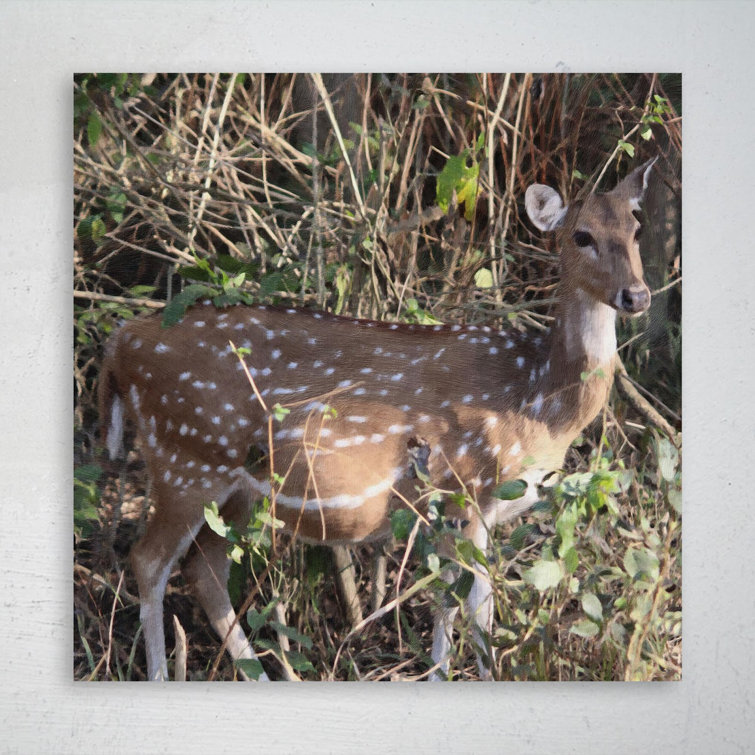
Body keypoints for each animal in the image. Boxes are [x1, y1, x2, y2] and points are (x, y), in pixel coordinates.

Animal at [99, 158, 655, 681]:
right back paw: (161, 673)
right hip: (187, 457)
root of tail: (121, 343)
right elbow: (477, 608)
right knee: (149, 562)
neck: (537, 403)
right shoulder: (467, 486)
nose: (637, 295)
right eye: (581, 235)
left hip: (234, 487)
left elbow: (448, 603)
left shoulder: (459, 510)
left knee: (206, 570)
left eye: (636, 228)